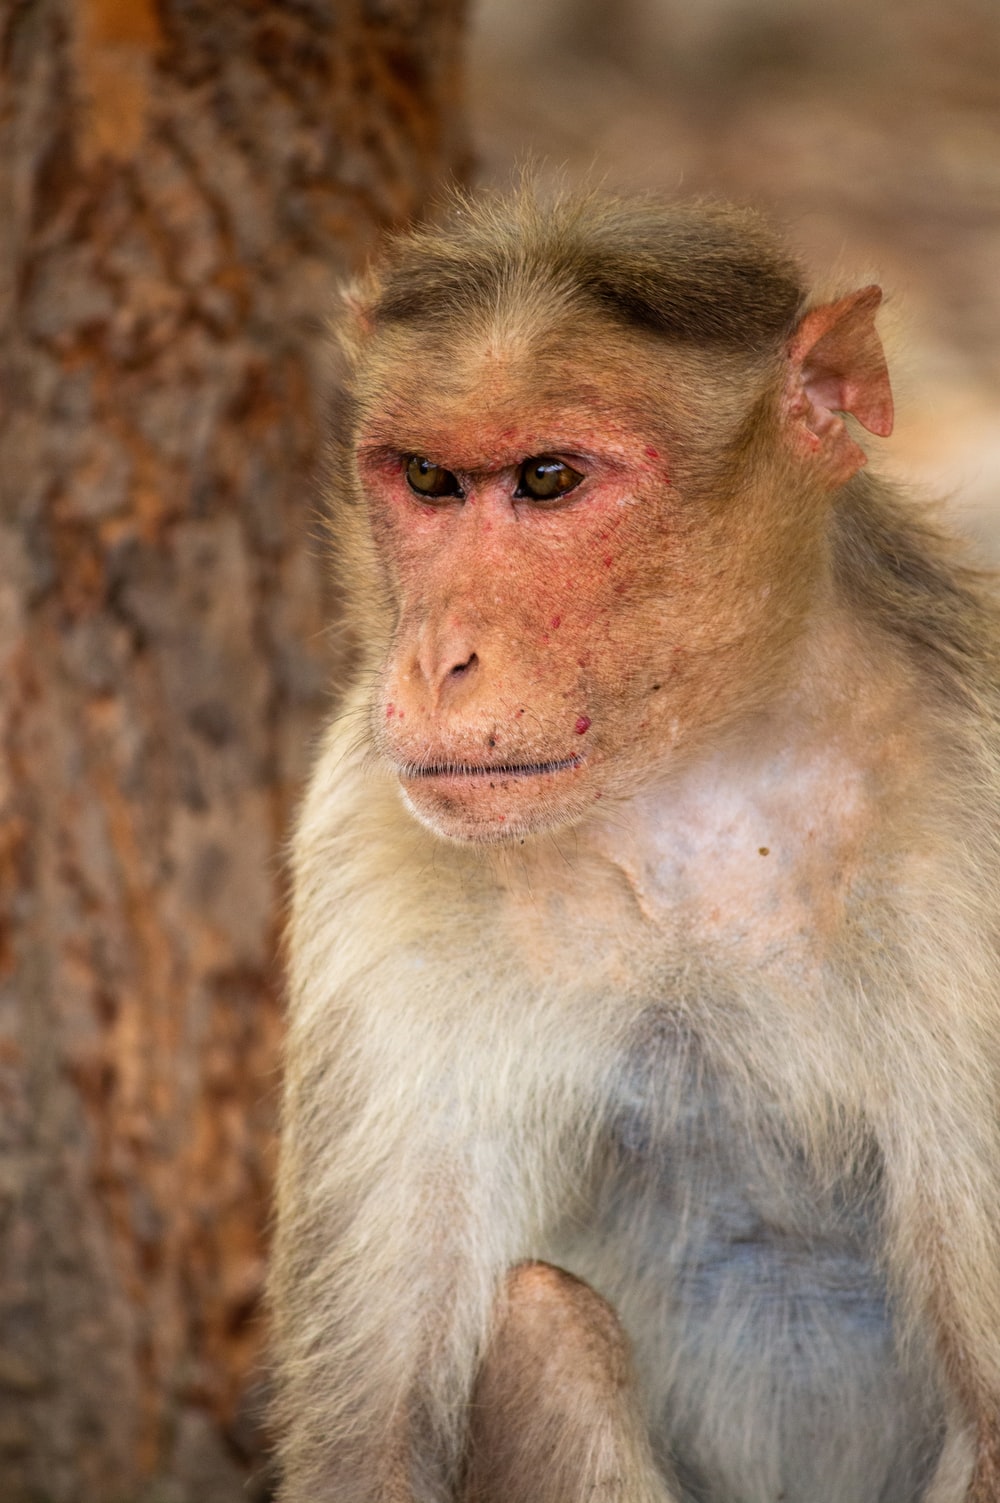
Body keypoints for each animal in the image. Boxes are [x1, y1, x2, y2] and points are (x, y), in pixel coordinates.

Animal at [270, 185, 1000, 1503]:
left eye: (548, 479)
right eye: (428, 479)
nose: (436, 659)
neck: (699, 782)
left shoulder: (979, 817)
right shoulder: (364, 829)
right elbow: (369, 1442)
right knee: (543, 1327)